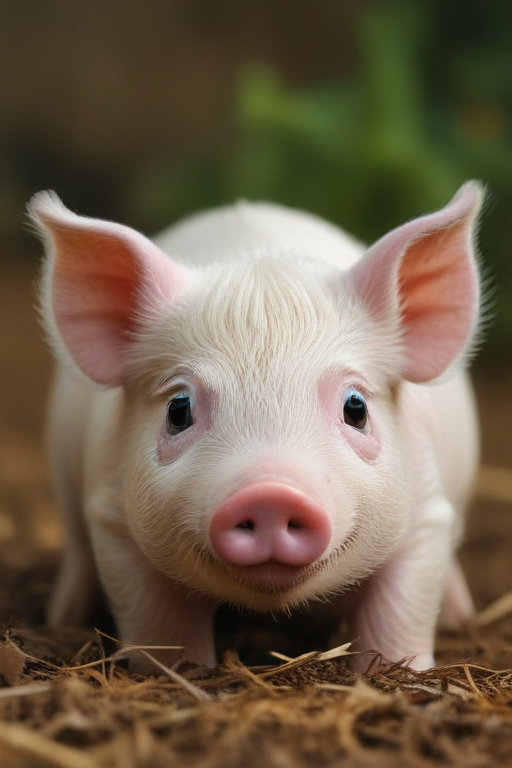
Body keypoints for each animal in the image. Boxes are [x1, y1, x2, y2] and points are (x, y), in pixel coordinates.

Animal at [28, 182, 484, 672]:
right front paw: (182, 671)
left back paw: (461, 615)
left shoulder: (426, 515)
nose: (270, 493)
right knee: (77, 552)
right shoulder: (113, 517)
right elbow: (161, 625)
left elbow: (399, 612)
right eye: (178, 409)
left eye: (356, 408)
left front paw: (405, 670)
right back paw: (61, 616)